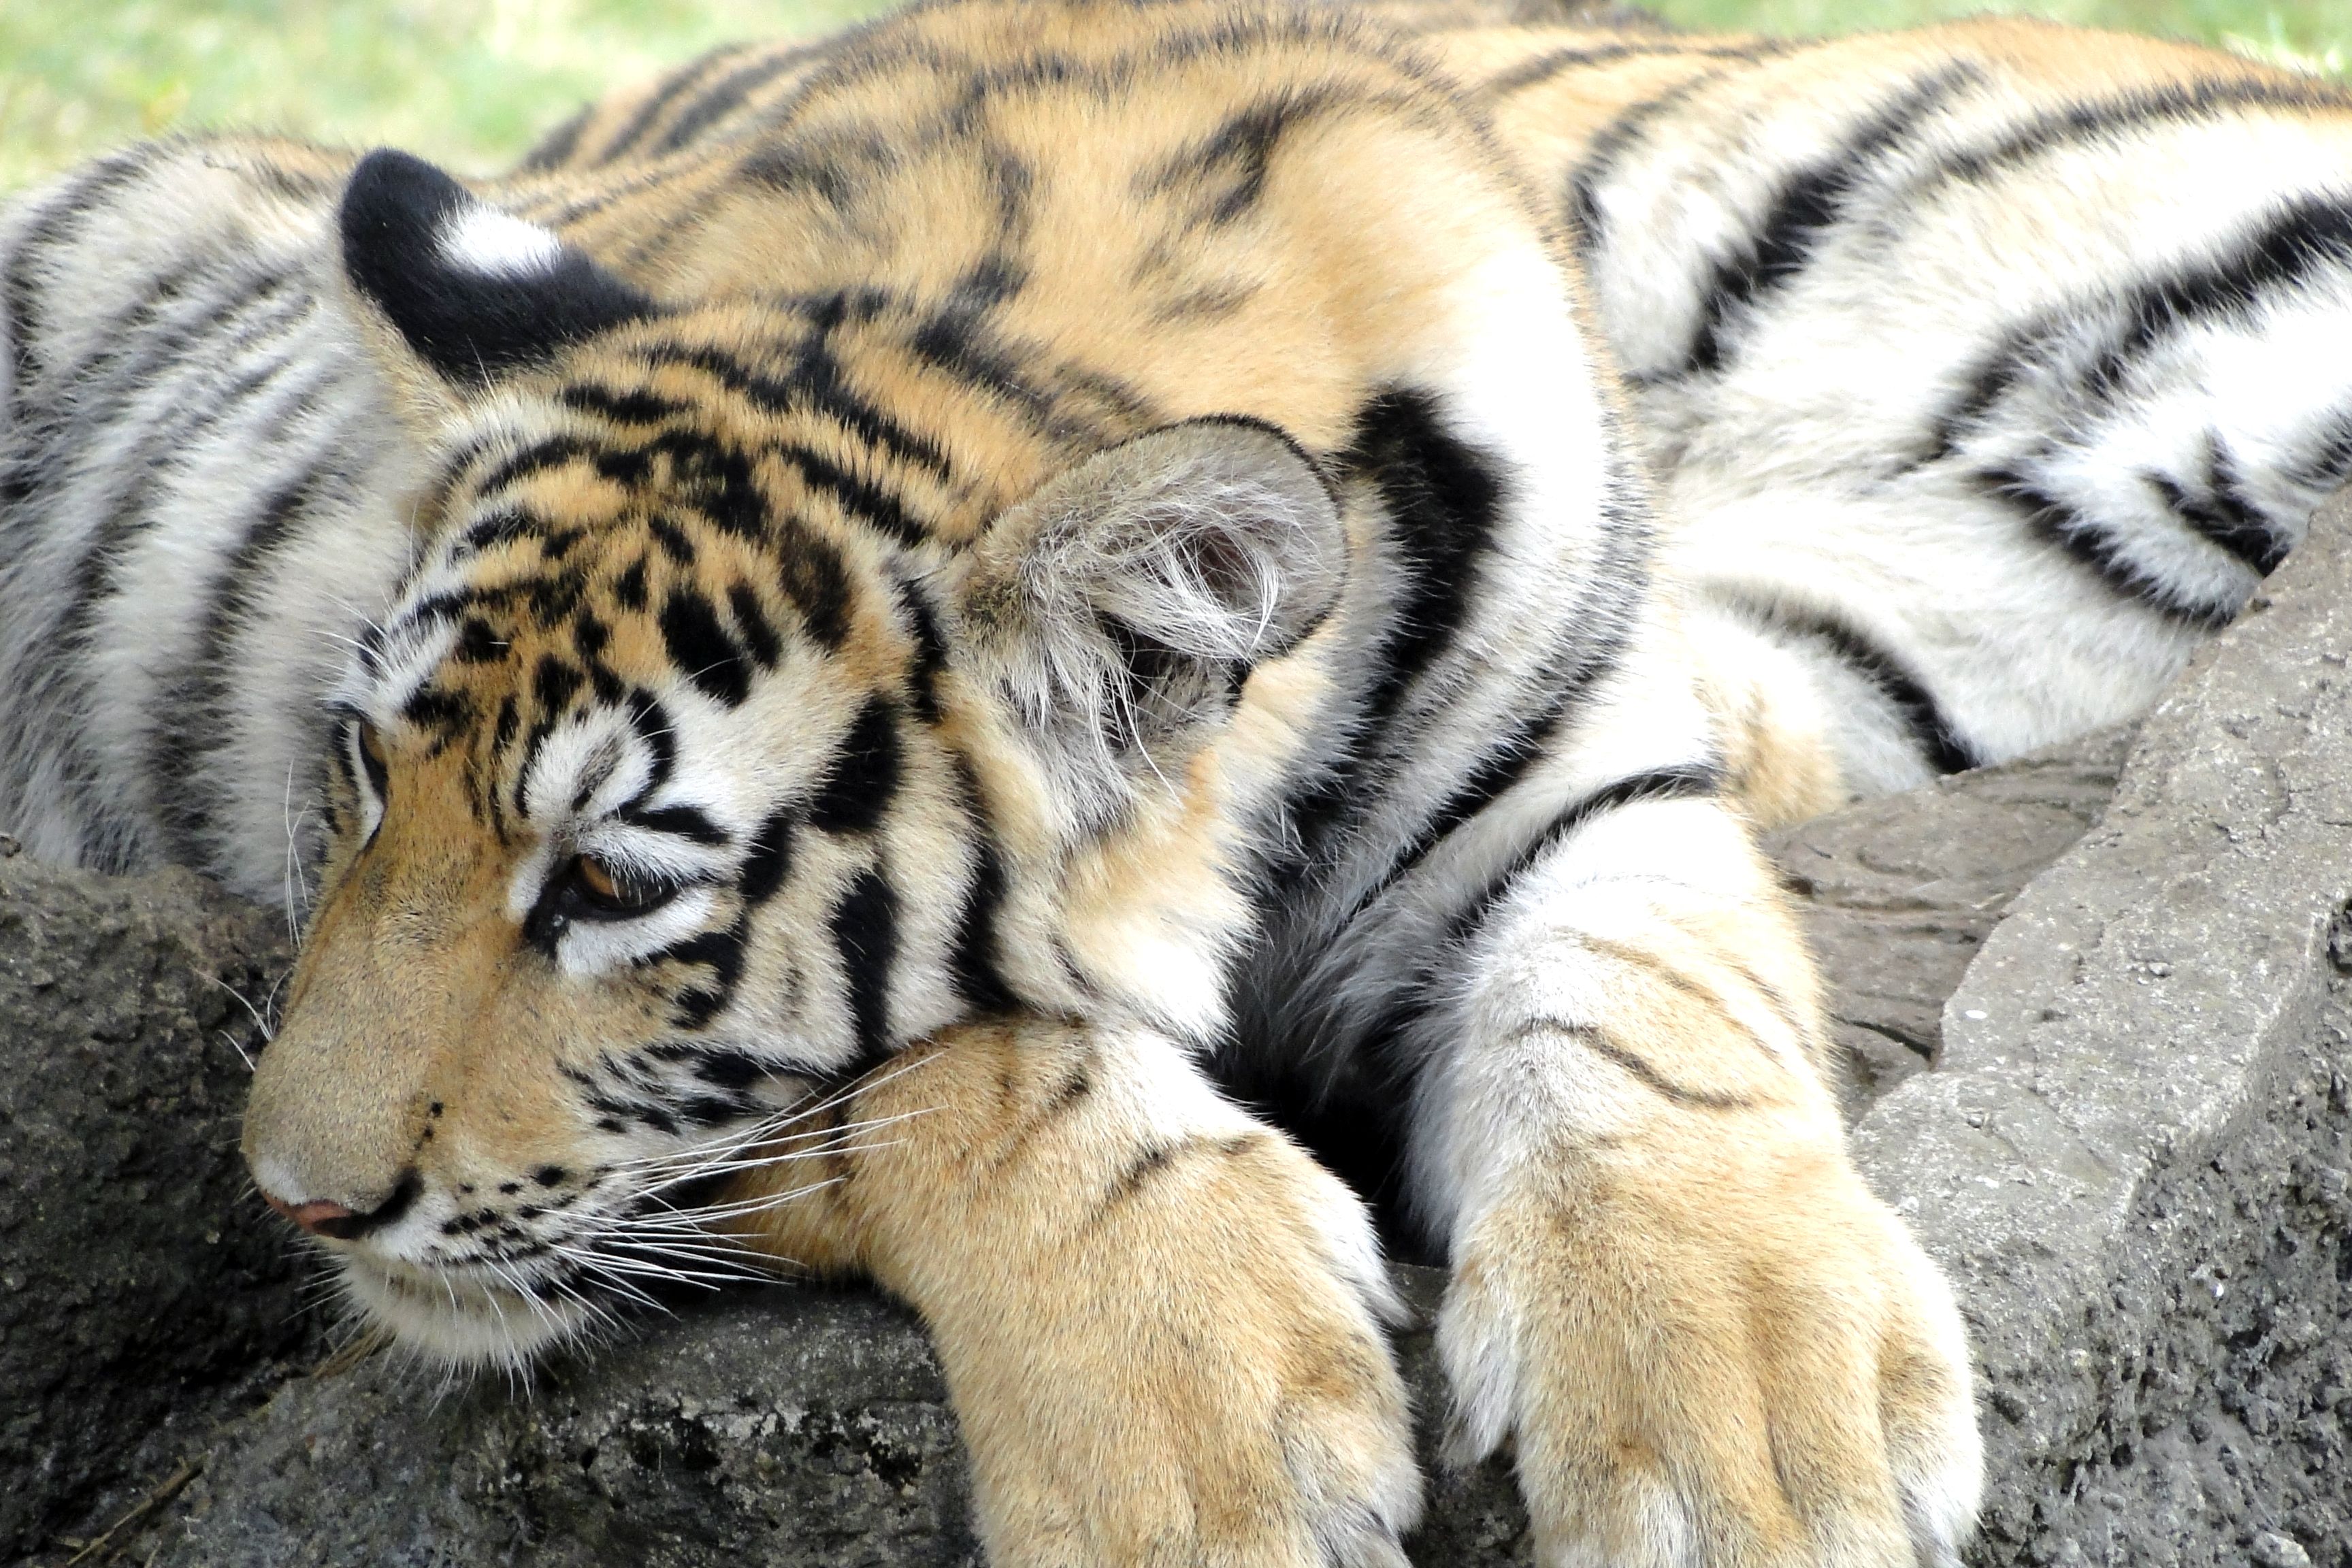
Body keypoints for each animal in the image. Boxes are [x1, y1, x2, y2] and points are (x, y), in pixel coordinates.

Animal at [4, 1, 2349, 1563]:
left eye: (608, 885)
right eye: (352, 775)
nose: (296, 1205)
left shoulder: (1581, 792)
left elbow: (1655, 1014)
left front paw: (1754, 1420)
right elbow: (963, 1065)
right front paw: (1204, 1442)